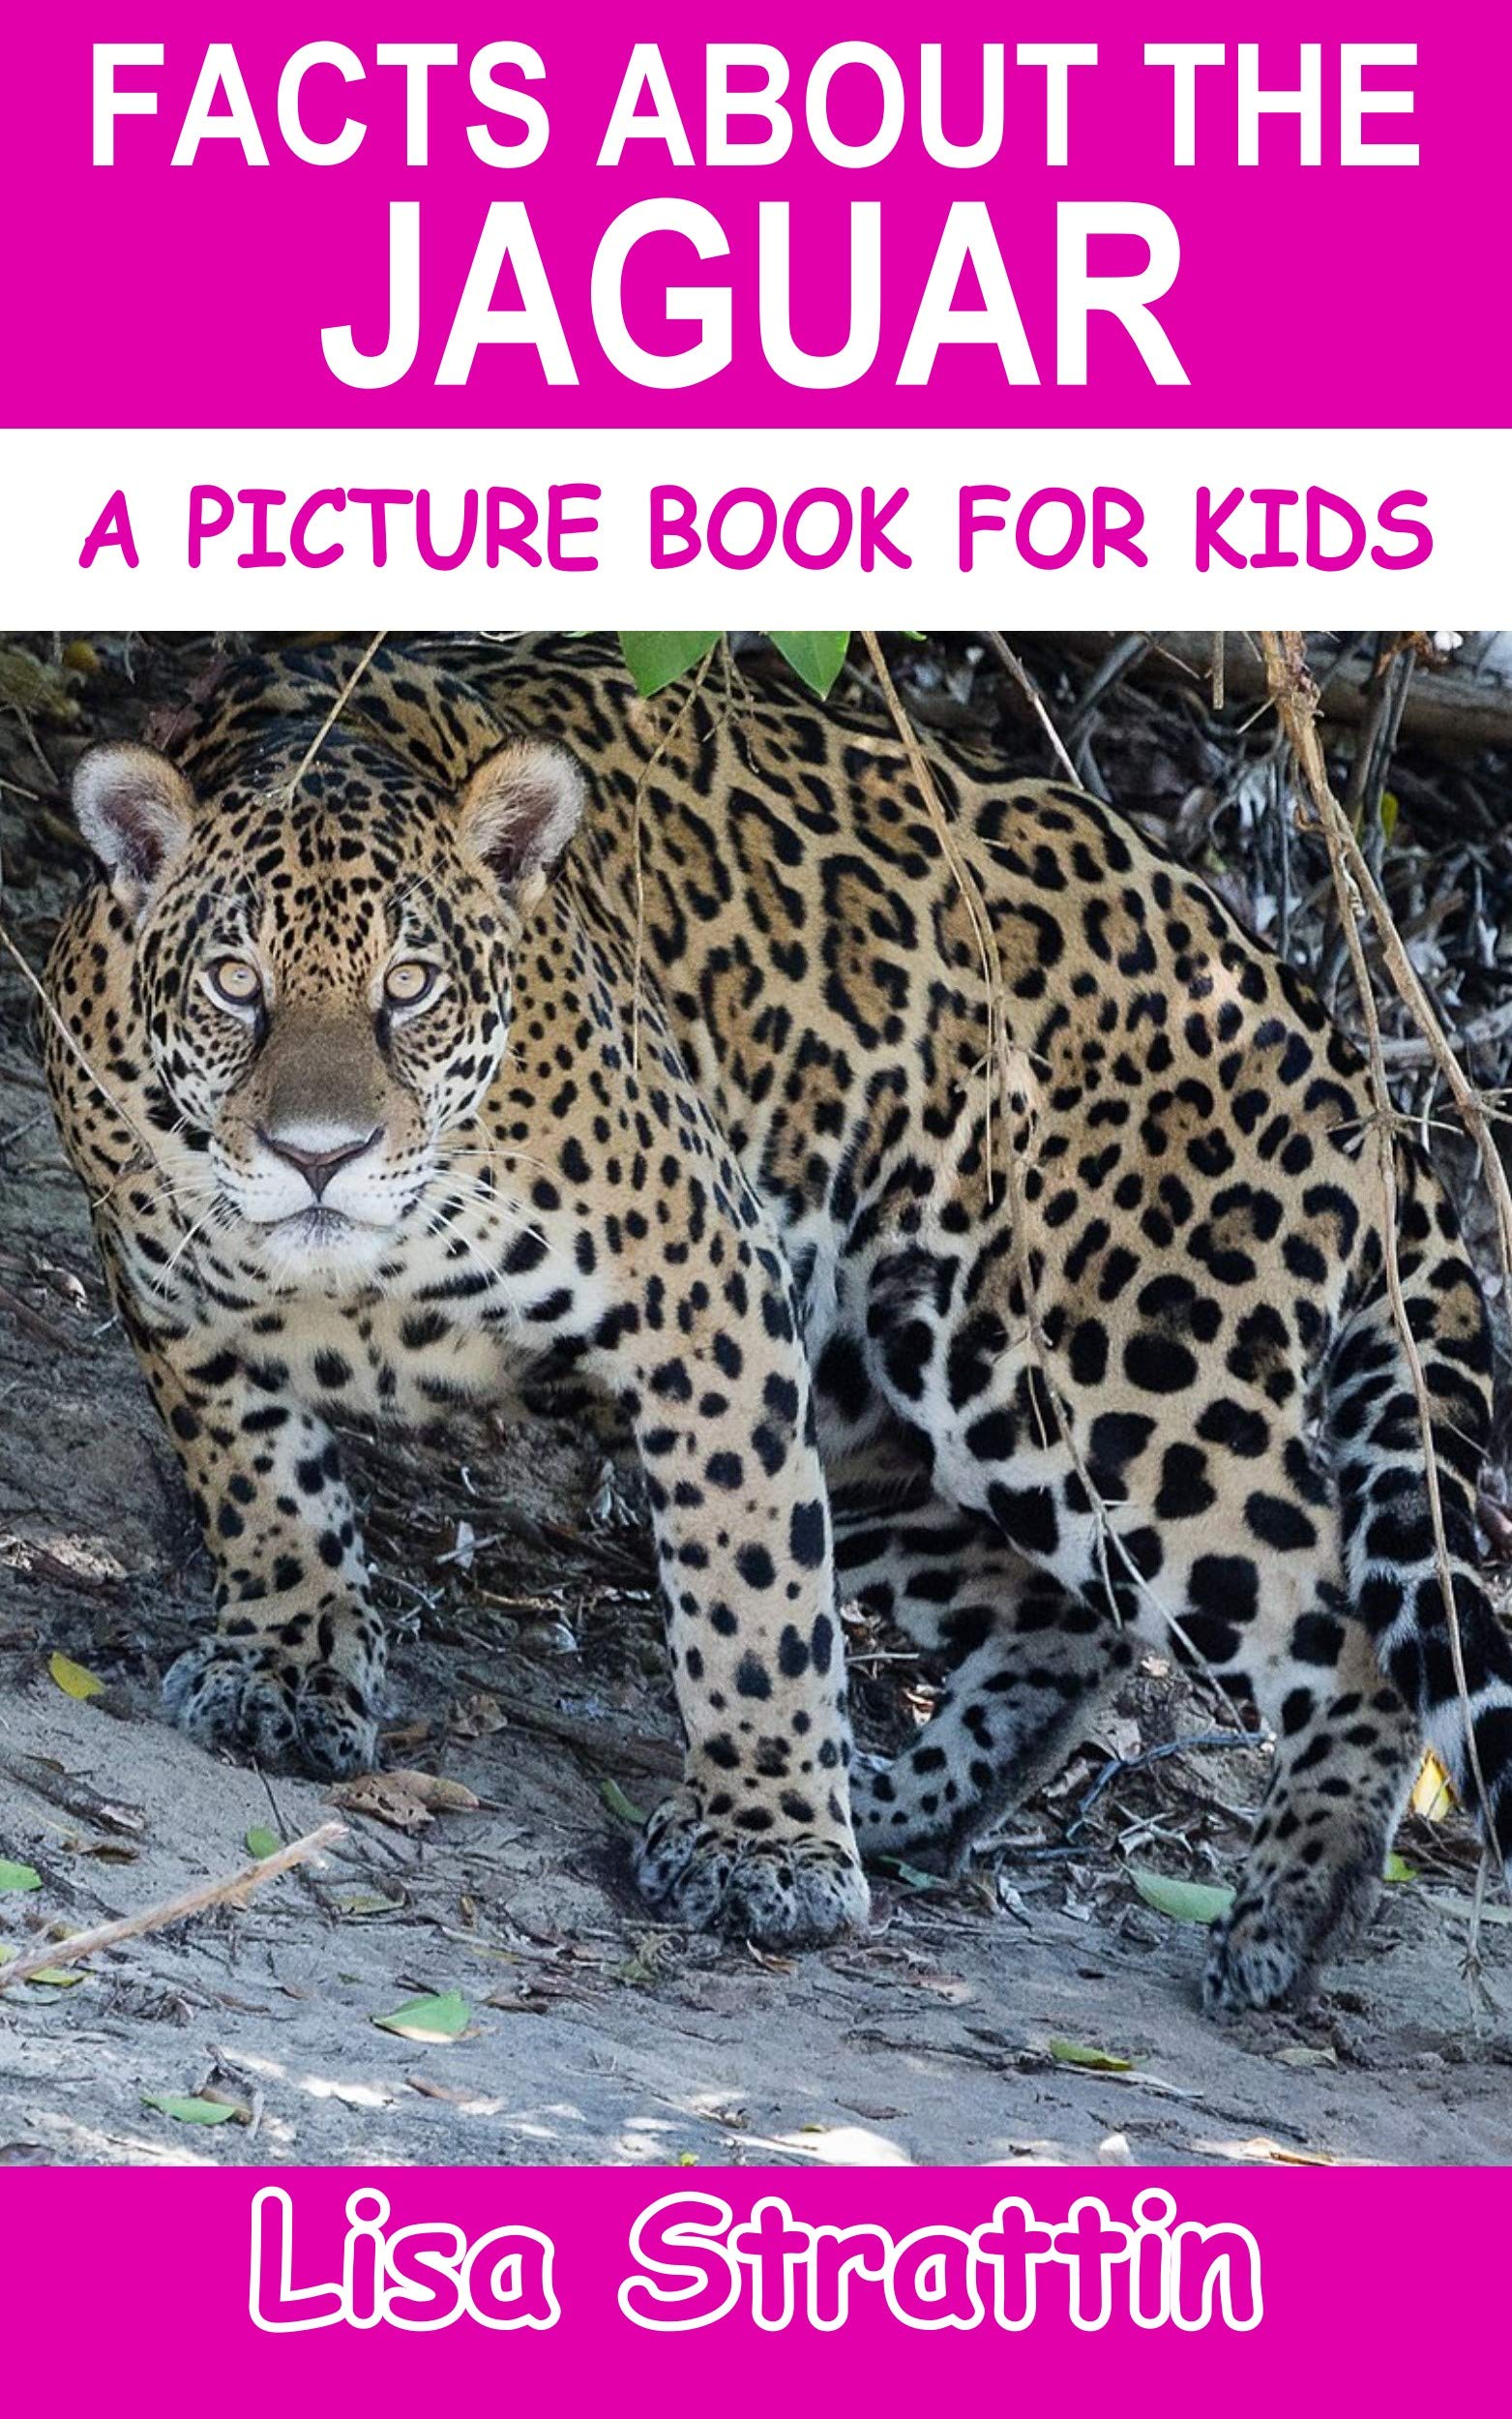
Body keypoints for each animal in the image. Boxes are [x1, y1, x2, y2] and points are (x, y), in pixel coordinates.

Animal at [40, 633, 1512, 2016]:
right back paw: (904, 1804)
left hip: (1105, 1379)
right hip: (886, 1415)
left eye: (409, 985)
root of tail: (1326, 1025)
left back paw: (1285, 1916)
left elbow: (750, 1597)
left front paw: (768, 1851)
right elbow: (261, 1488)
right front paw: (286, 1669)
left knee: (1345, 1639)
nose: (318, 1154)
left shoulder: (704, 1291)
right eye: (234, 981)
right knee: (1063, 1626)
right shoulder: (172, 1301)